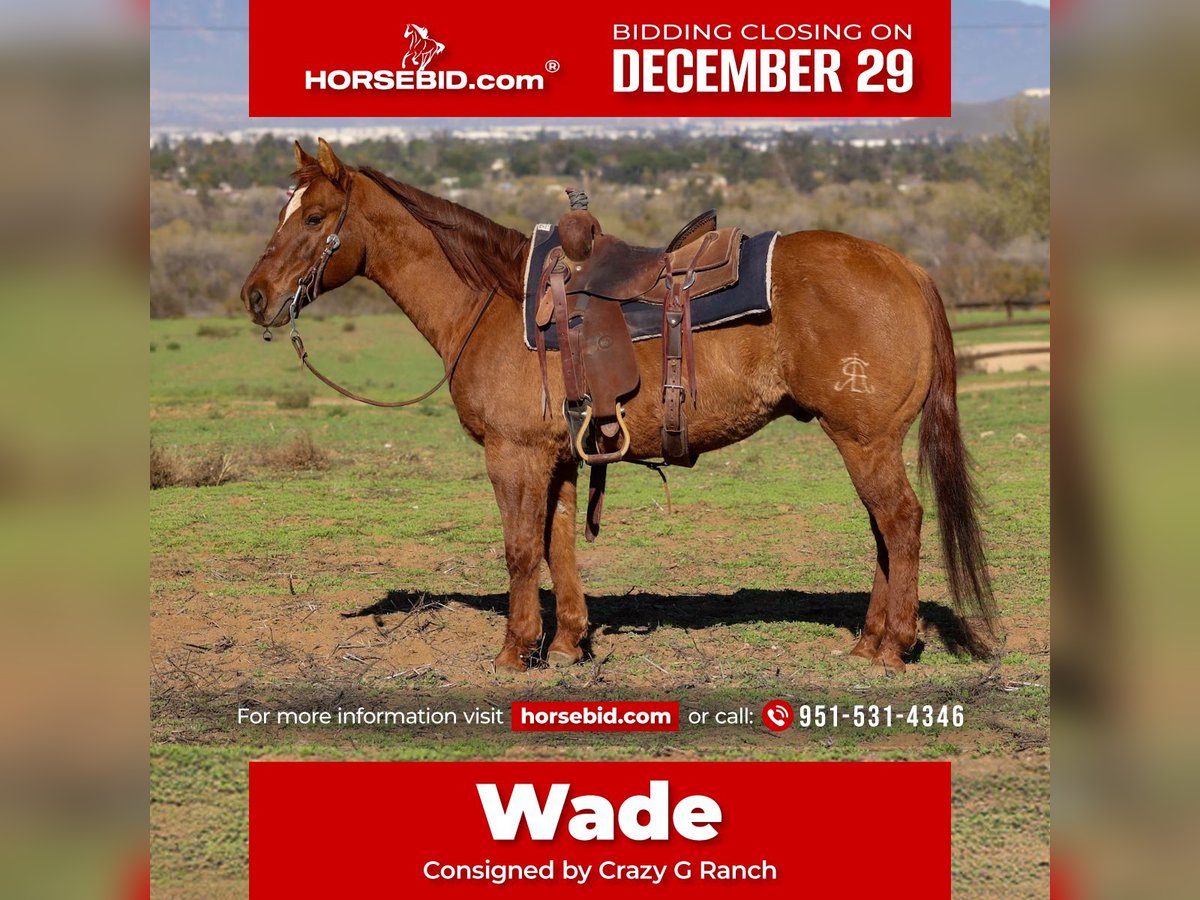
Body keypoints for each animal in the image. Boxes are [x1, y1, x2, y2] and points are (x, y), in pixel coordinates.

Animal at [240, 139, 996, 674]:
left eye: (313, 216)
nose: (255, 295)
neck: (495, 300)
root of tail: (903, 266)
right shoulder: (559, 457)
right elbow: (559, 544)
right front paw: (567, 643)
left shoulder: (513, 456)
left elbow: (520, 548)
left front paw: (514, 651)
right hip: (862, 440)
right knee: (884, 530)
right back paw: (868, 642)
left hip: (865, 439)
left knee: (900, 522)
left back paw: (894, 646)